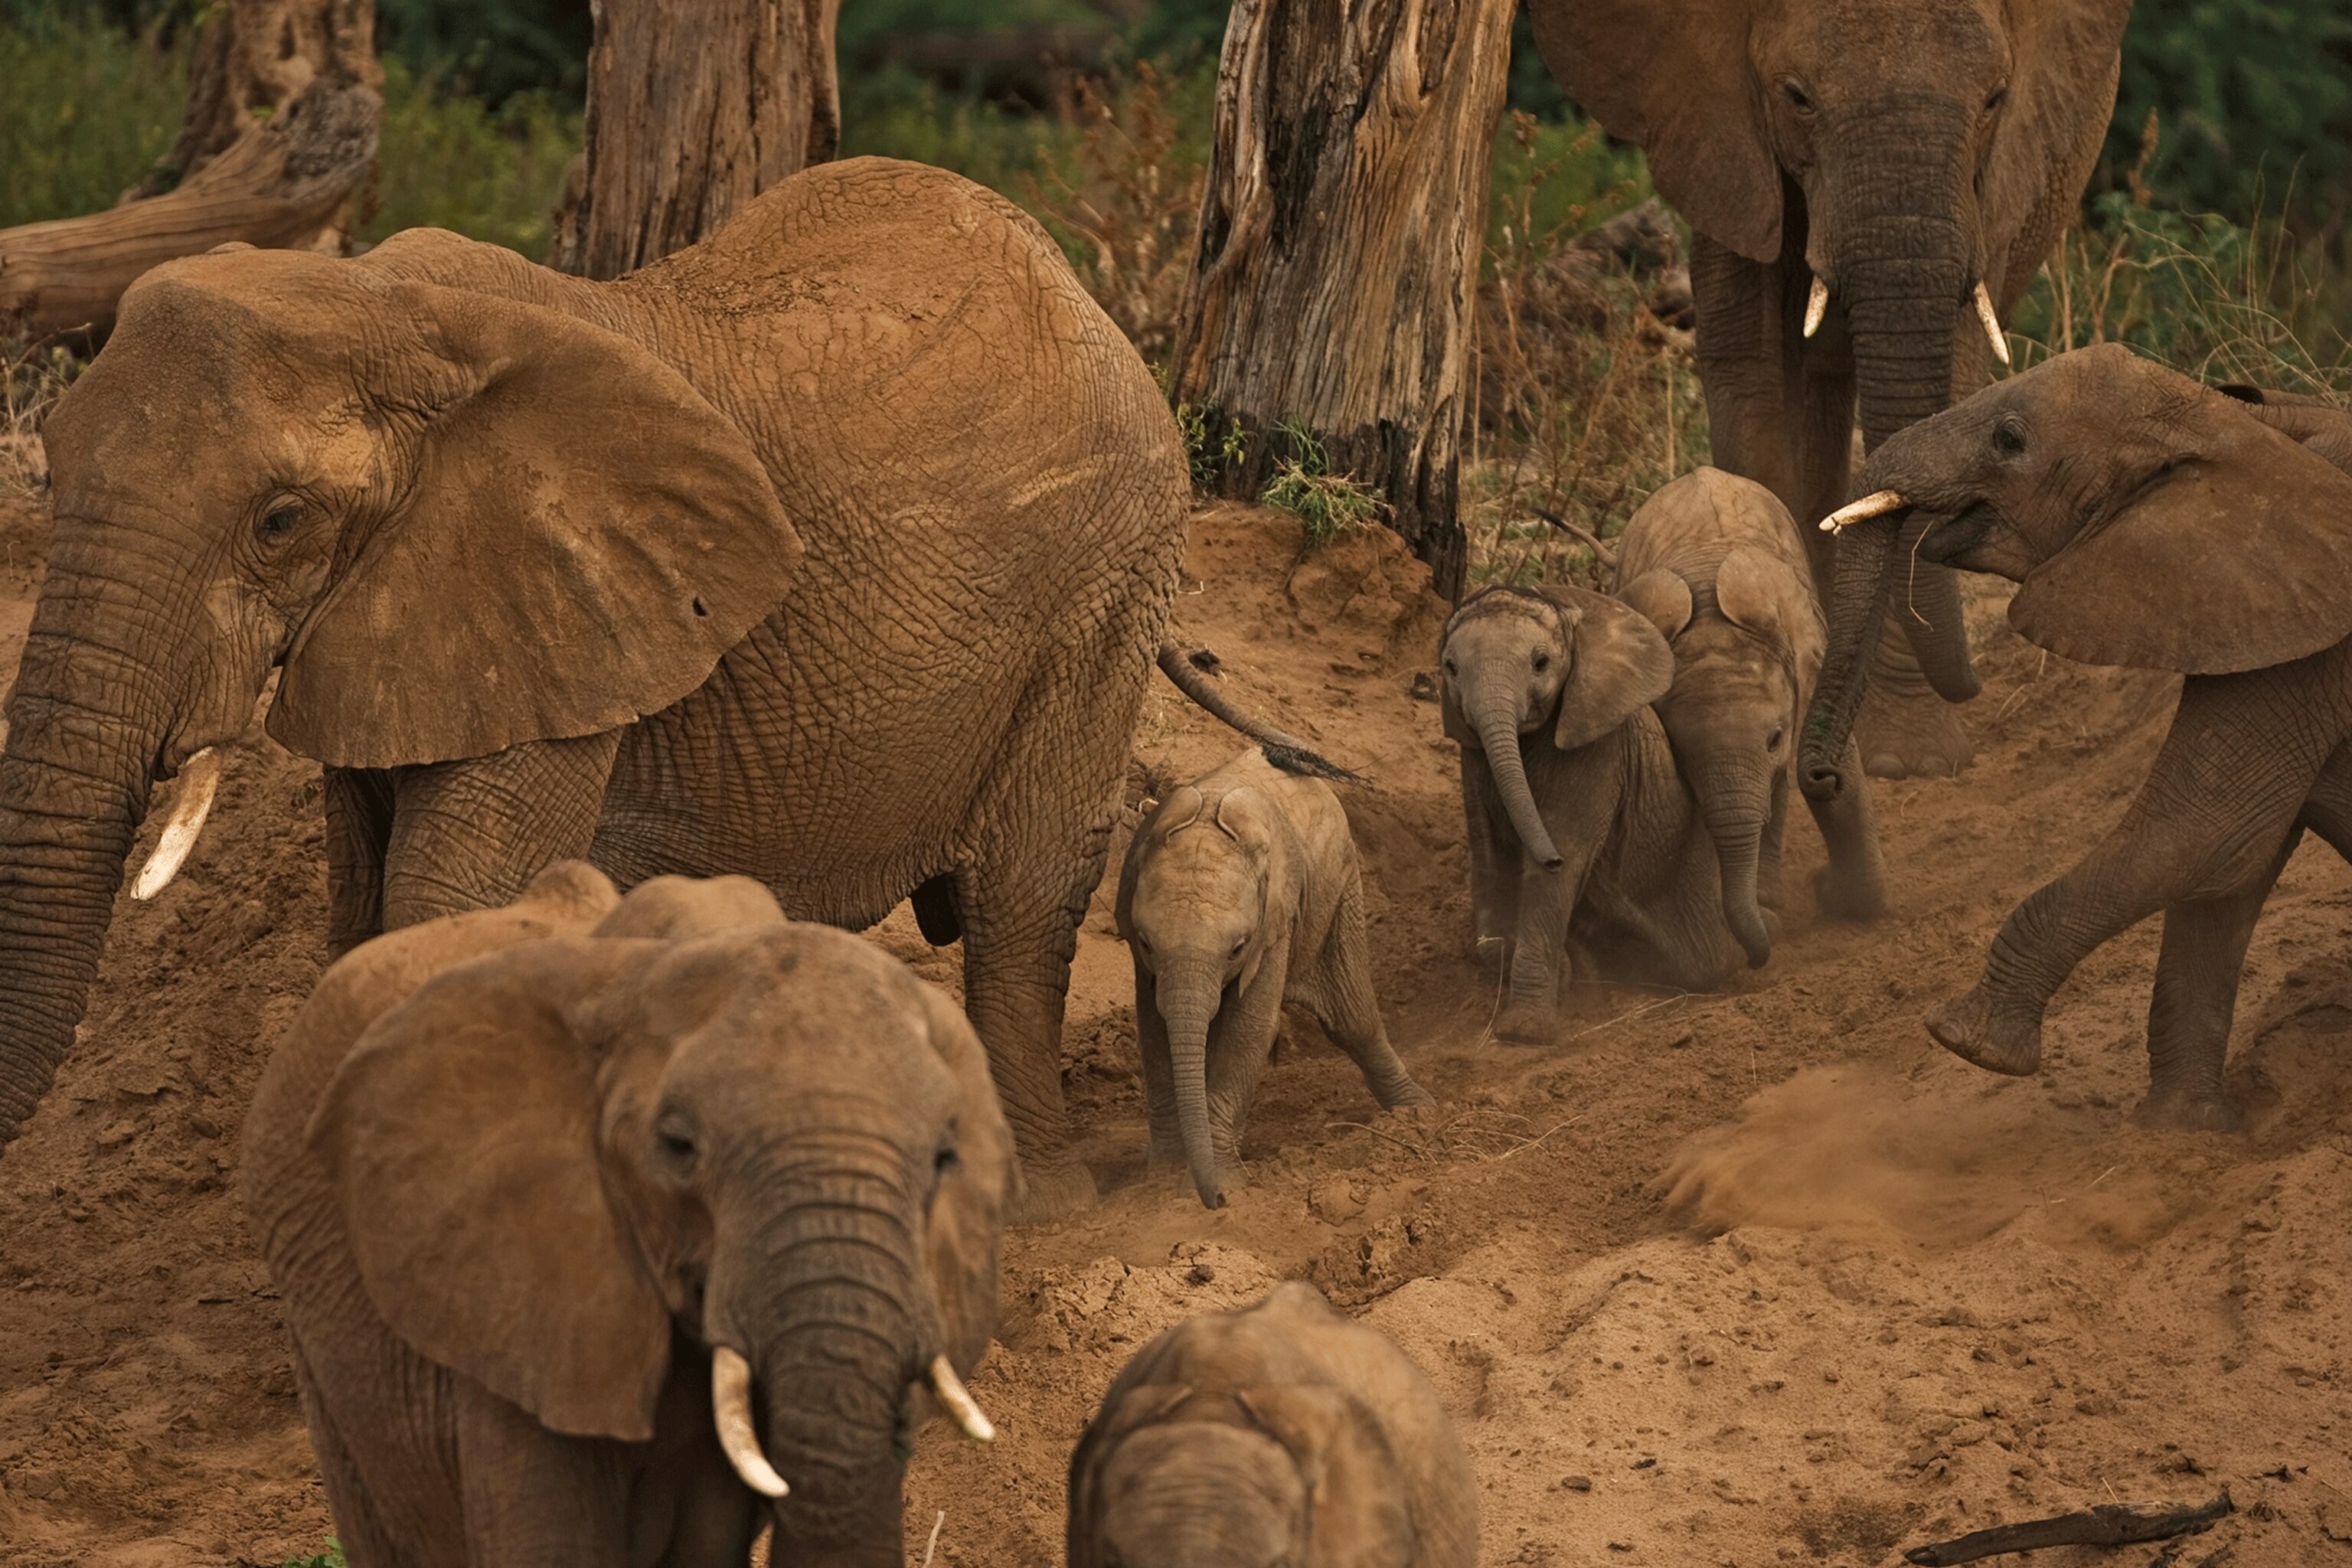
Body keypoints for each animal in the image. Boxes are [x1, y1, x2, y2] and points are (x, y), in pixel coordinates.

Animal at [0, 155, 1326, 1216]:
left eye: (280, 522)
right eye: (53, 465)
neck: (392, 307)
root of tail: (1078, 289)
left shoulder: (563, 613)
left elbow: (447, 902)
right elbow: (360, 910)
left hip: (1106, 579)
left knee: (1023, 896)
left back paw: (1040, 1206)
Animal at [1113, 747, 1432, 1210]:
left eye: (1237, 948)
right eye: (1145, 942)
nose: (1215, 1202)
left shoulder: (1275, 923)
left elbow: (1248, 1030)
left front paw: (1223, 1182)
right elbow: (1155, 1032)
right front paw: (1165, 1178)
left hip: (1340, 887)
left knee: (1352, 1021)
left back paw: (1417, 1113)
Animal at [1442, 581, 1744, 1043]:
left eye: (1541, 663)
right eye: (1451, 668)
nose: (1549, 857)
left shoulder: (1598, 751)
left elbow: (1562, 861)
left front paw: (1525, 1032)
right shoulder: (1471, 753)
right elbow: (1489, 858)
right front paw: (1565, 970)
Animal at [1529, 0, 2136, 780]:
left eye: (1995, 100)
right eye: (1797, 98)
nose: (1973, 685)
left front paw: (1907, 761)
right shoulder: (1728, 154)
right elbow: (1761, 380)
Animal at [1798, 344, 2352, 1129]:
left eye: (2008, 439)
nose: (1825, 774)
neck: (2231, 424)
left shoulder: (2311, 639)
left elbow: (2203, 833)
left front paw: (1969, 1042)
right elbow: (2232, 863)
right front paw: (2181, 1133)